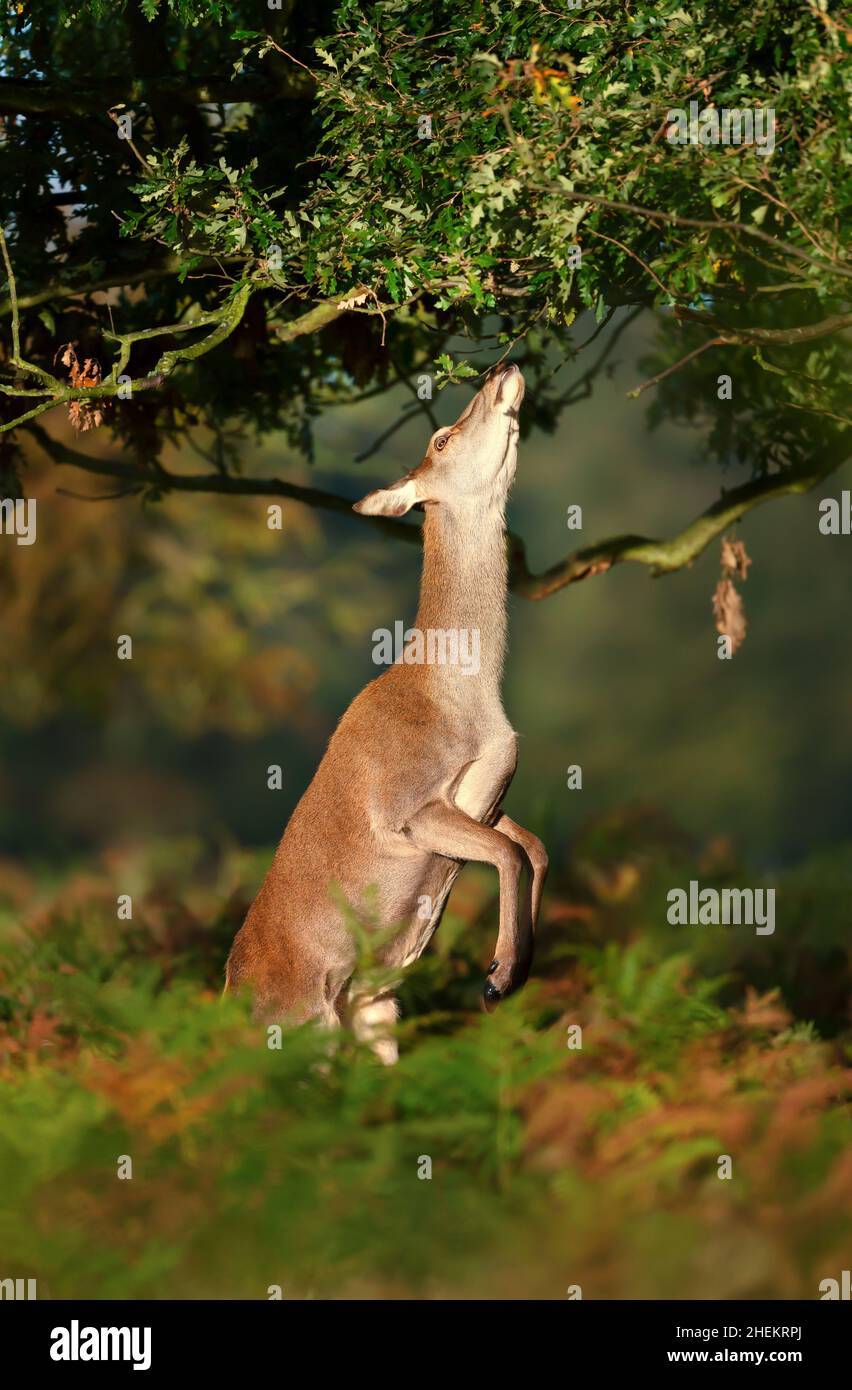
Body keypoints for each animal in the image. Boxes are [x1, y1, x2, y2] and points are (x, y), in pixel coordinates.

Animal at [225, 363, 547, 1062]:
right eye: (442, 438)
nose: (502, 368)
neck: (465, 698)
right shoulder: (409, 803)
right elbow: (509, 854)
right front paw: (498, 976)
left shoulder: (486, 795)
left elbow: (532, 847)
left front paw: (519, 967)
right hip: (305, 1021)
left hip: (371, 1010)